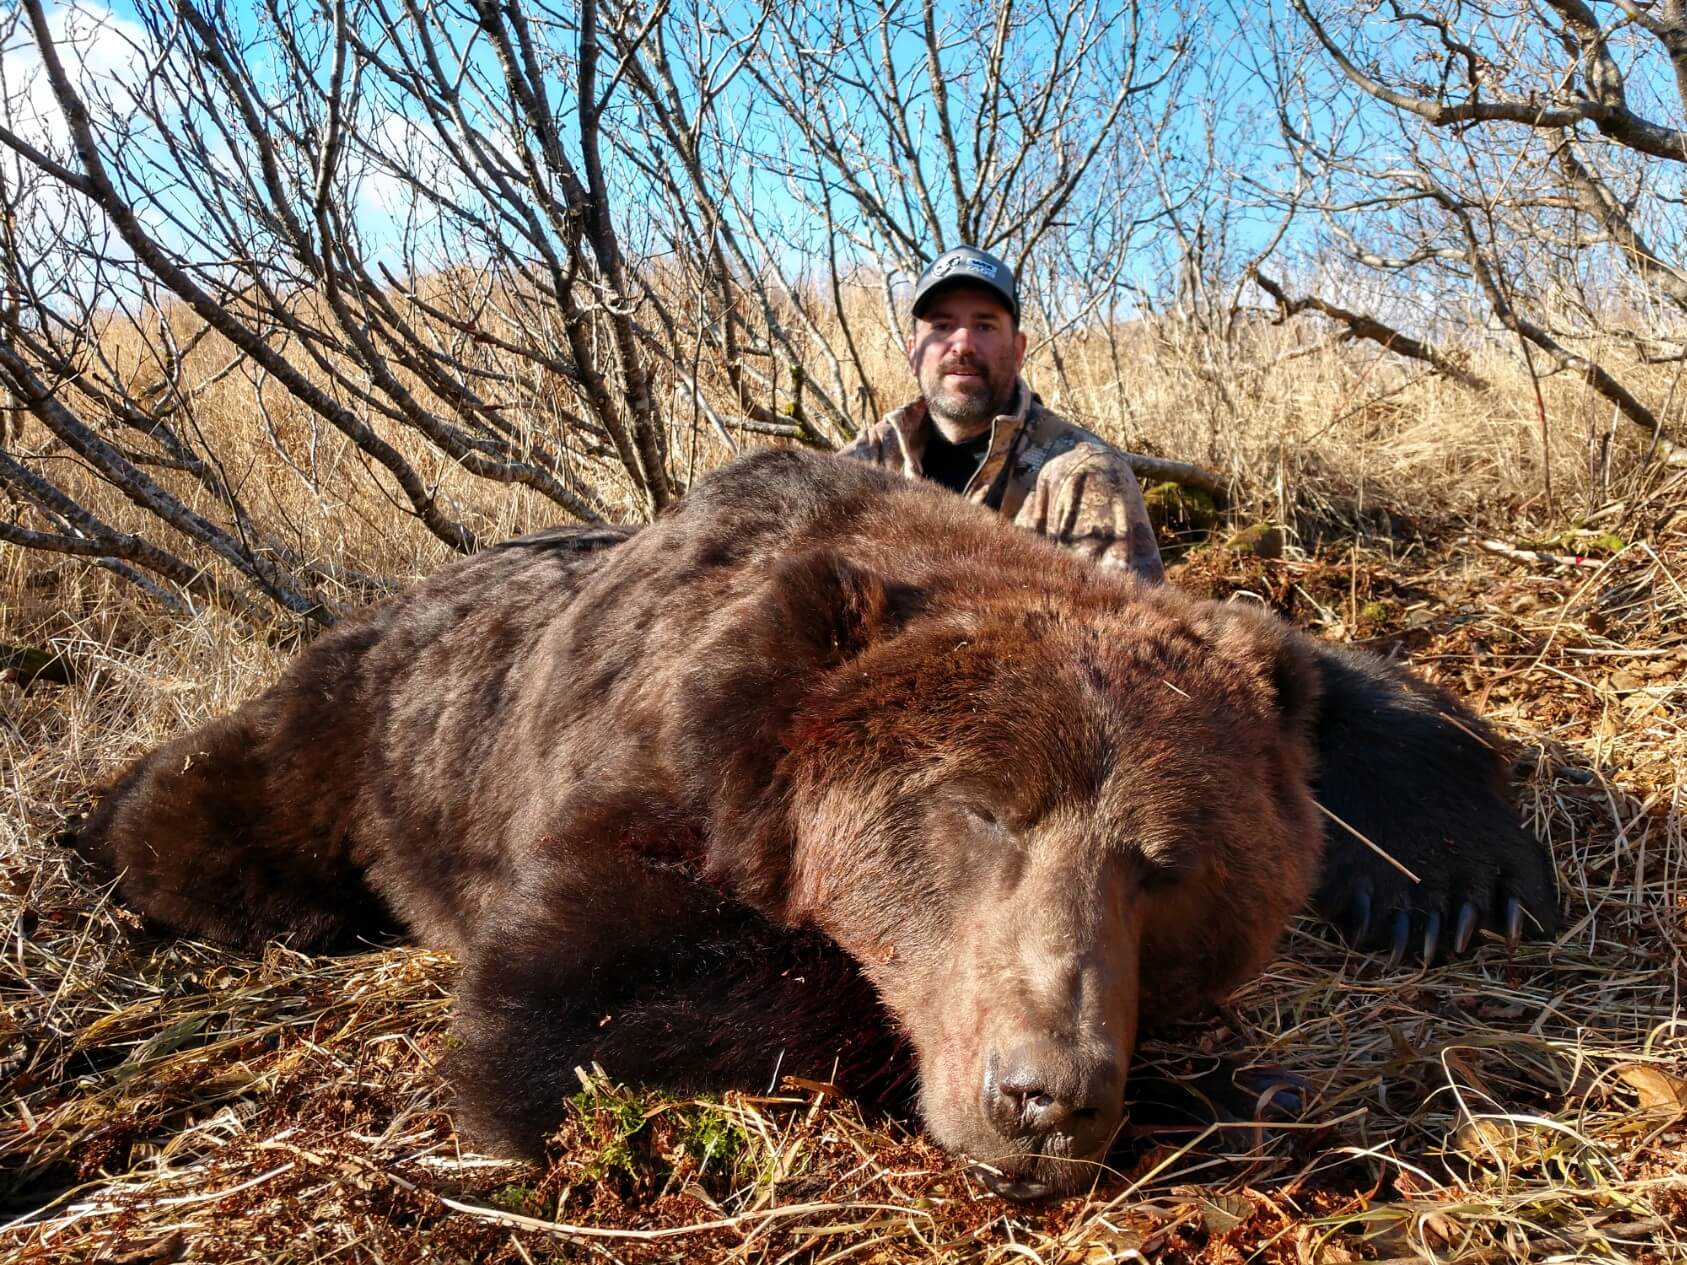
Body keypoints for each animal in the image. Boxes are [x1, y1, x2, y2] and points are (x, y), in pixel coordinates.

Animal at [75, 449, 1556, 1200]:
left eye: (1164, 865)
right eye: (978, 814)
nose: (1044, 1094)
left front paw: (1451, 878)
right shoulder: (672, 763)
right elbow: (578, 996)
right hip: (369, 724)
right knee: (220, 794)